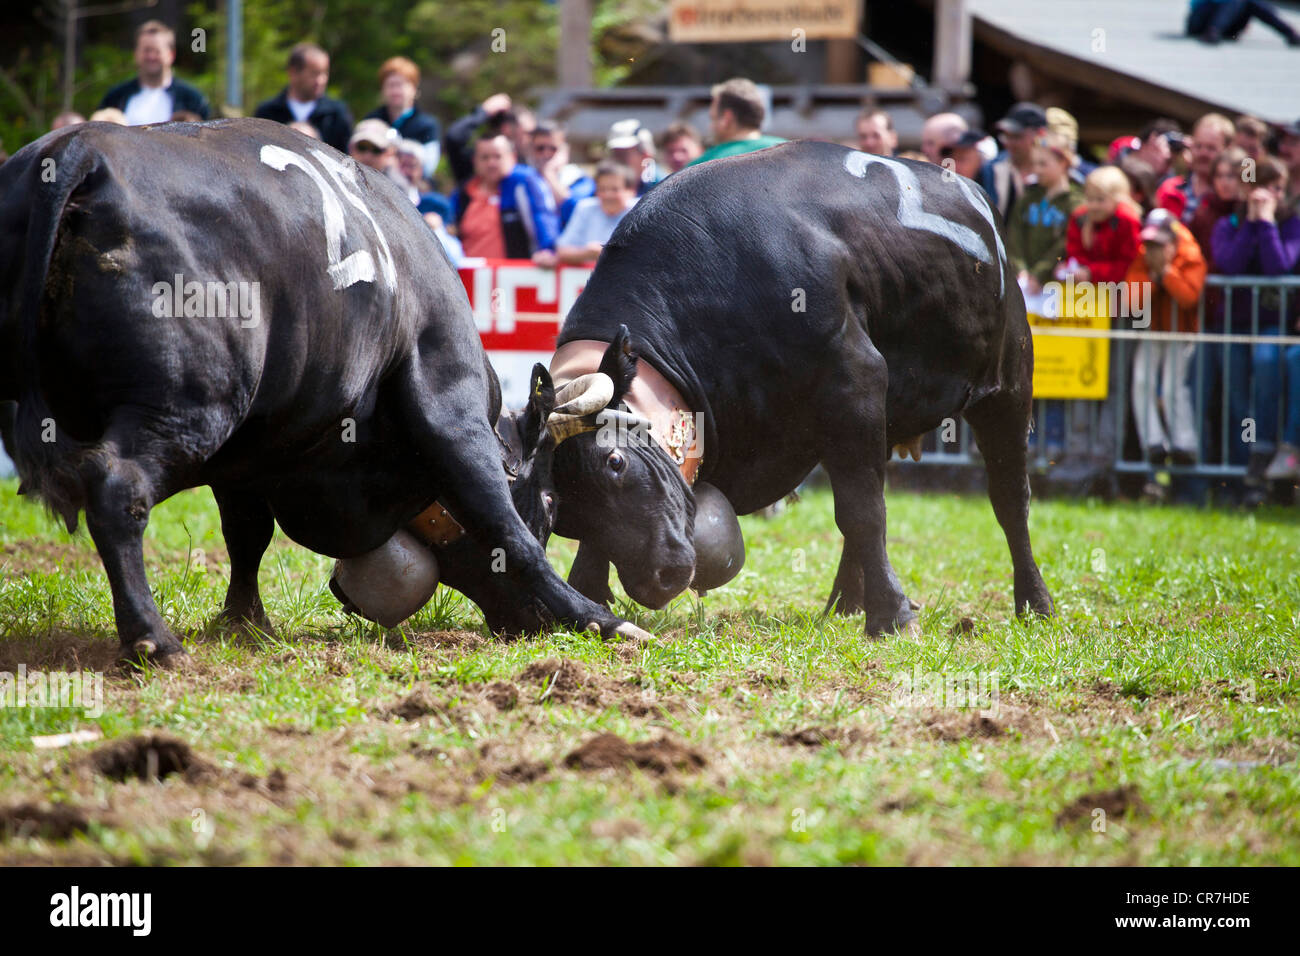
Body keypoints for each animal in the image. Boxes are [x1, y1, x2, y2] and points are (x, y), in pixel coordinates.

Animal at [0, 118, 644, 667]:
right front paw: (599, 619)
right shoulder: (447, 403)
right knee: (119, 489)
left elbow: (247, 534)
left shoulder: (250, 456)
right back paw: (154, 641)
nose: (526, 625)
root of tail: (82, 149)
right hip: (188, 405)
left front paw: (245, 621)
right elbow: (501, 520)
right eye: (553, 503)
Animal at [542, 140, 1055, 636]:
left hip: (1006, 388)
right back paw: (846, 602)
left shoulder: (856, 382)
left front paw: (893, 616)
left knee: (1010, 500)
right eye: (564, 512)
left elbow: (862, 512)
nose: (655, 581)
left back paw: (1035, 605)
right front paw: (587, 594)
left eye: (616, 461)